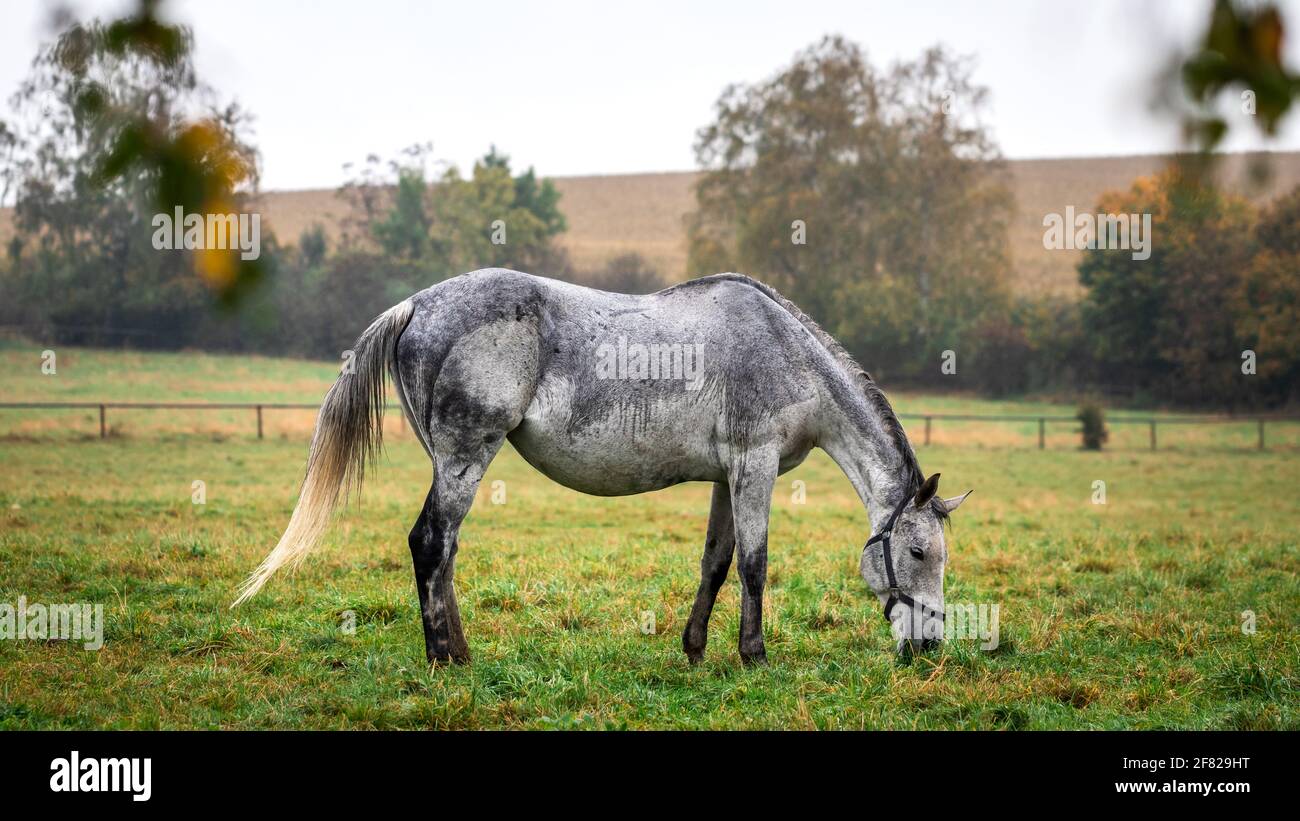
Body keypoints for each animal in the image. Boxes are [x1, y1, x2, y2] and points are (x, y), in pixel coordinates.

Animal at [233, 268, 971, 664]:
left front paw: (695, 648)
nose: (930, 645)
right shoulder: (754, 468)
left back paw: (461, 651)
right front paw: (754, 655)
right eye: (916, 552)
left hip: (453, 463)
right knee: (430, 542)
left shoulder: (725, 477)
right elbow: (756, 565)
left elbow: (716, 562)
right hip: (467, 457)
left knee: (445, 550)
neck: (783, 351)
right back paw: (444, 659)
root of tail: (417, 304)